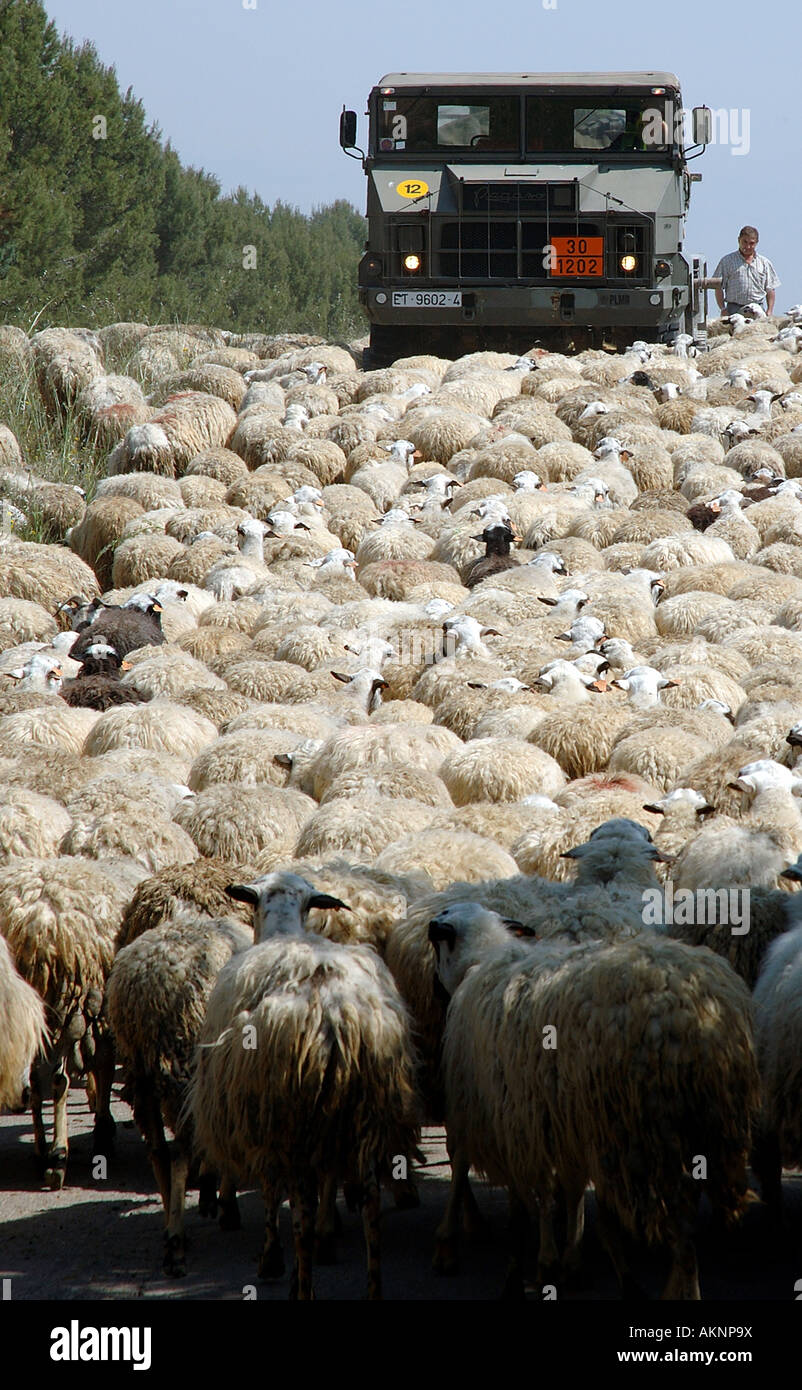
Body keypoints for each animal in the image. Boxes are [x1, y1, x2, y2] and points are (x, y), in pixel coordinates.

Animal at [190, 872, 421, 1297]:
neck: (284, 929)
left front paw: (272, 1258)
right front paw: (322, 1241)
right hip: (366, 1111)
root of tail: (334, 1014)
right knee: (371, 1205)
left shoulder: (262, 1119)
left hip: (291, 1116)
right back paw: (373, 1287)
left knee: (301, 1209)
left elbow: (271, 1193)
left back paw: (303, 1284)